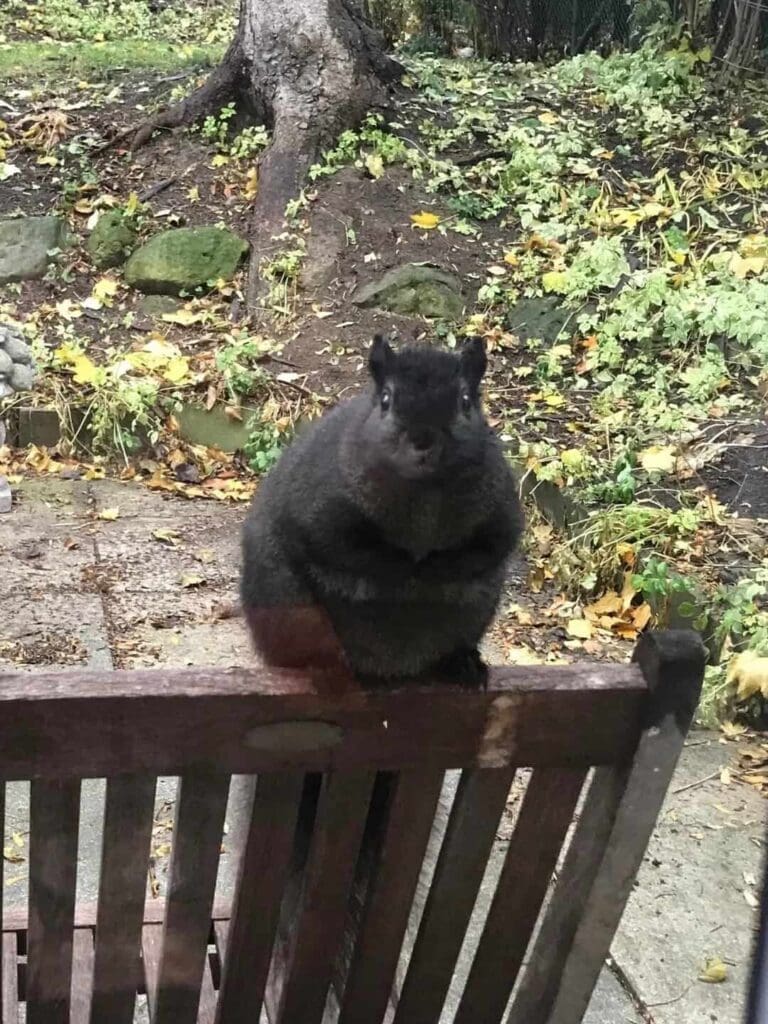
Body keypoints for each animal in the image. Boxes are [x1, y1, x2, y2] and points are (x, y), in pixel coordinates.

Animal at [241, 334, 523, 685]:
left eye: (466, 401)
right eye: (386, 400)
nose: (423, 440)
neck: (425, 491)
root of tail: (396, 667)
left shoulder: (499, 508)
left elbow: (492, 547)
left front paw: (434, 568)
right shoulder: (321, 502)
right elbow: (338, 546)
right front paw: (403, 568)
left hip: (476, 612)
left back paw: (461, 663)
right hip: (288, 607)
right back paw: (327, 669)